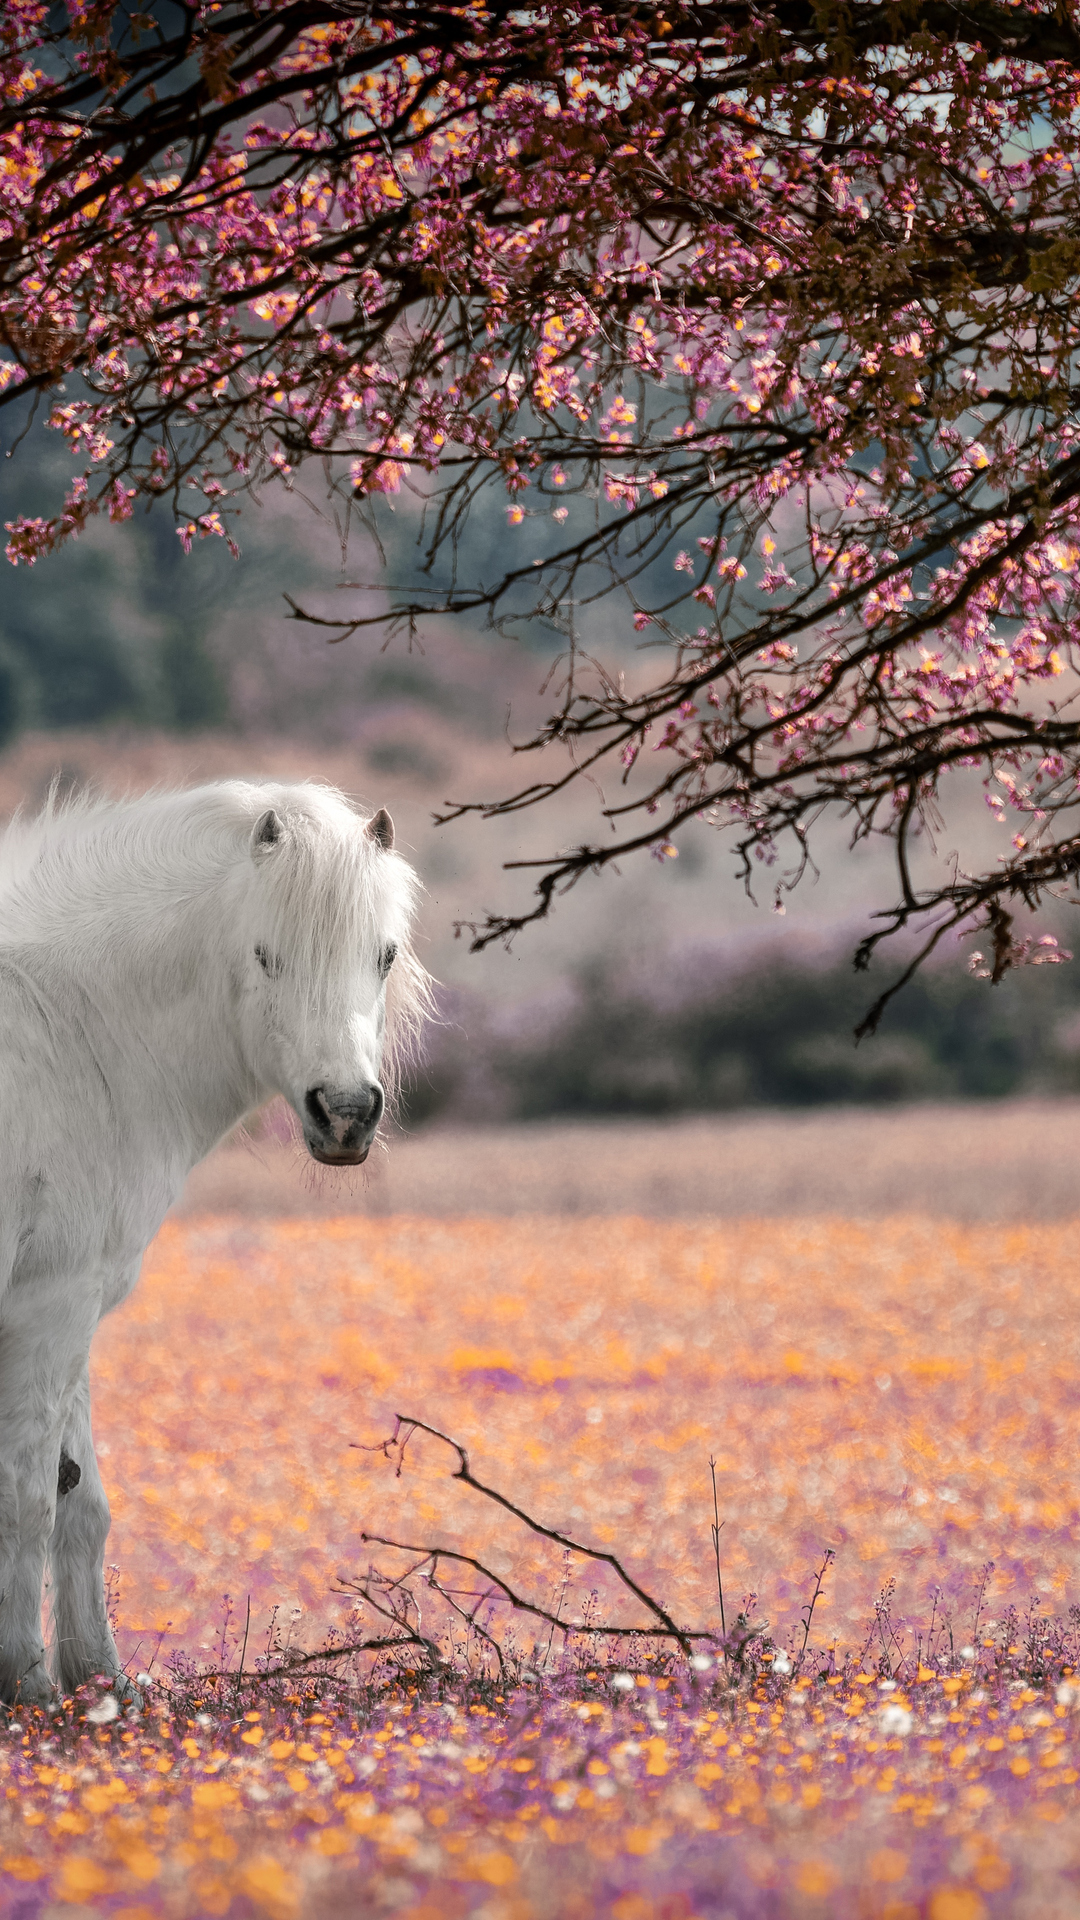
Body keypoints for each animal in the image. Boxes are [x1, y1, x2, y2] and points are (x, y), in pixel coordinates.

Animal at [0, 779, 429, 1707]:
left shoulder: (72, 1309)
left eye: (383, 956)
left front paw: (101, 1681)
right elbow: (28, 1496)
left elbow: (81, 1501)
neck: (68, 1030)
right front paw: (29, 1683)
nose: (346, 1113)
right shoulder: (50, 1305)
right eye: (265, 956)